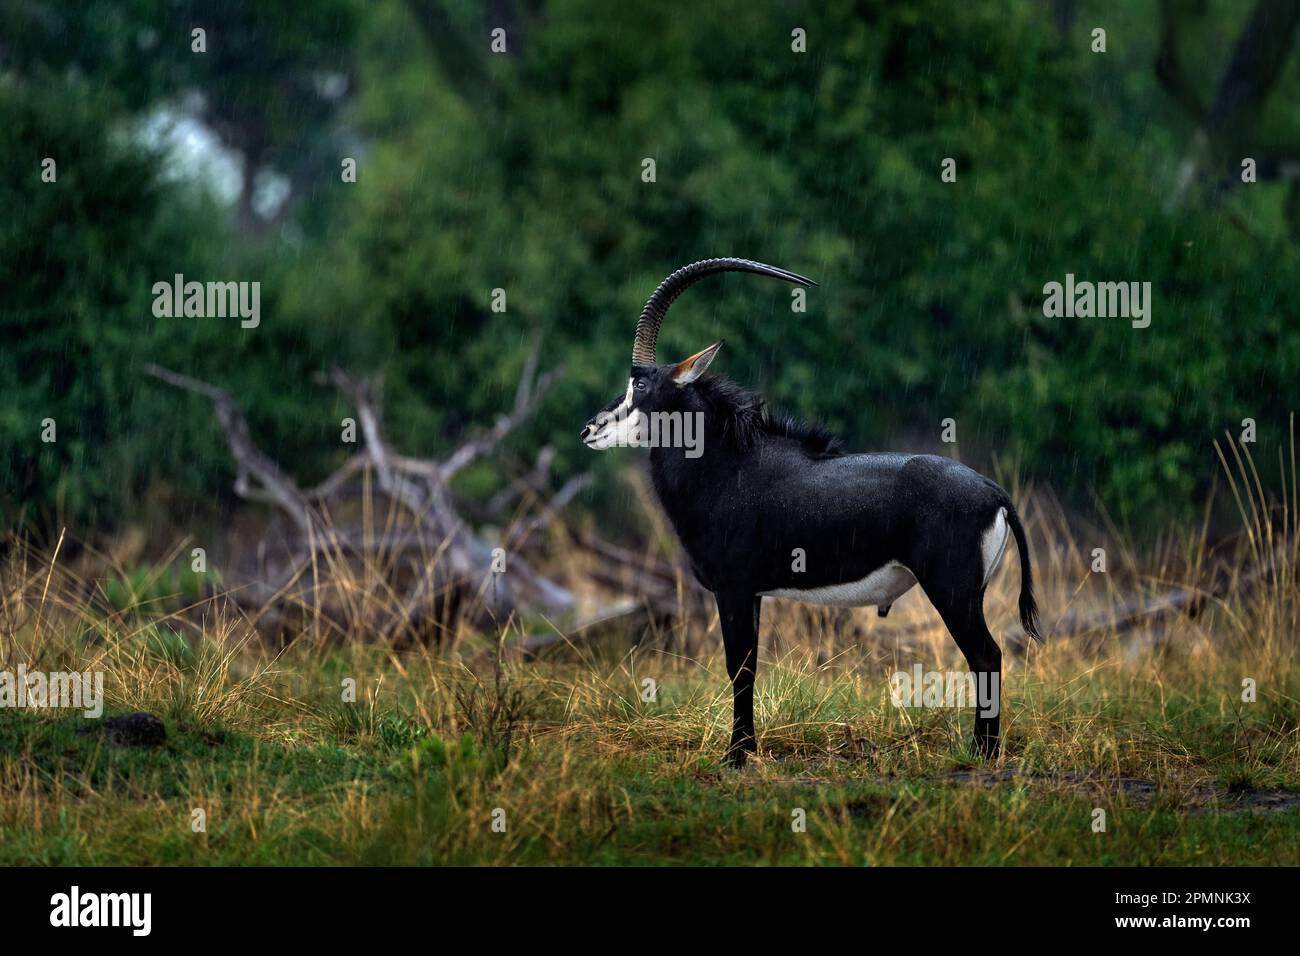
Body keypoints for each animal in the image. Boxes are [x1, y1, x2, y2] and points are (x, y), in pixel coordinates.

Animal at [582, 258, 1041, 766]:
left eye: (640, 384)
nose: (589, 429)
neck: (728, 464)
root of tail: (993, 491)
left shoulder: (733, 588)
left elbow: (738, 666)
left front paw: (735, 757)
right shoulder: (754, 593)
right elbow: (749, 665)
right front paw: (746, 749)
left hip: (953, 591)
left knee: (986, 655)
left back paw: (983, 754)